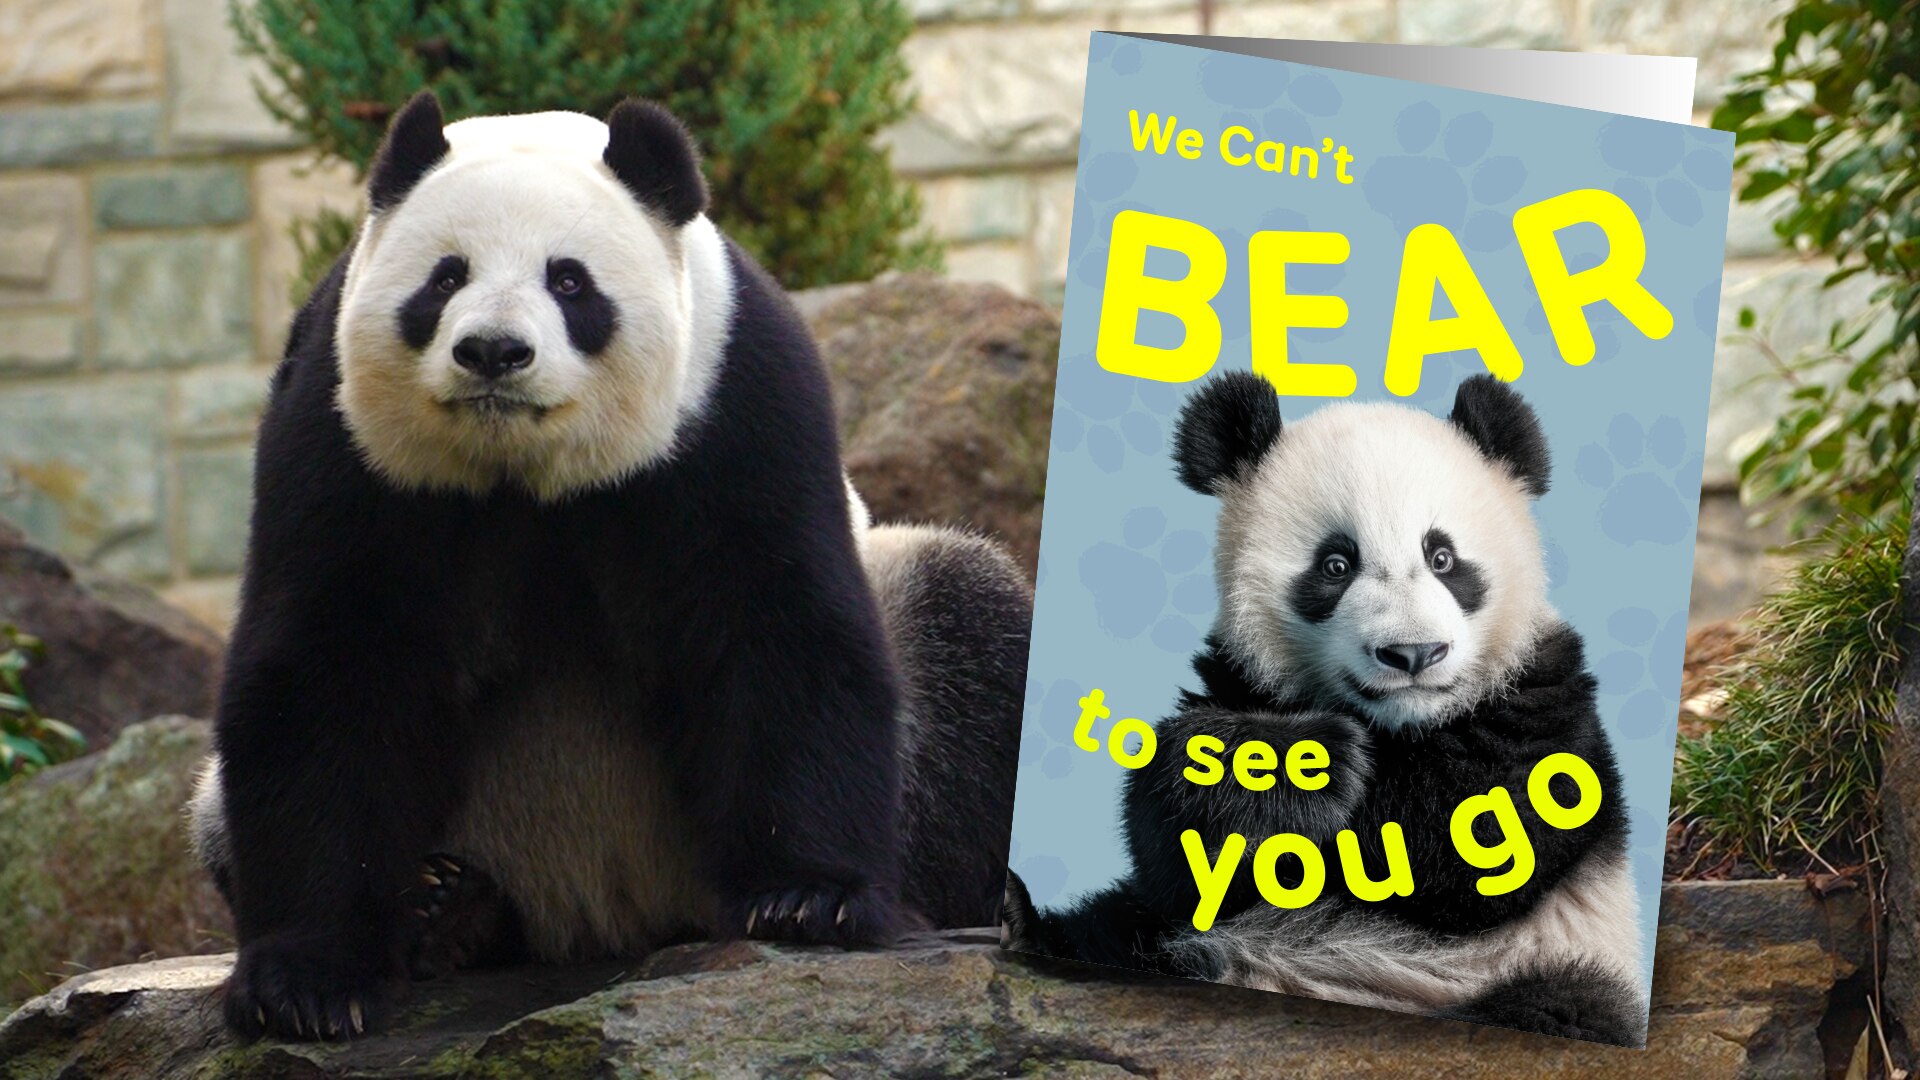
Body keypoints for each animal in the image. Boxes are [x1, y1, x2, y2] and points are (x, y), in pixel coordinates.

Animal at [186, 92, 1031, 1041]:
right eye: (445, 279)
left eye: (569, 281)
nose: (492, 352)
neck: (525, 473)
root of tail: (607, 912)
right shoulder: (337, 425)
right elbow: (330, 663)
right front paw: (307, 983)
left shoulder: (733, 396)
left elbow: (776, 623)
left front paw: (809, 900)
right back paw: (452, 913)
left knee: (965, 624)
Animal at [1001, 371, 1644, 1046]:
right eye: (1336, 565)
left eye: (1442, 558)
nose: (1412, 653)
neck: (1401, 728)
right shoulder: (1243, 680)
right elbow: (1179, 858)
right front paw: (1289, 763)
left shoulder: (1540, 699)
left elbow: (1475, 843)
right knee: (1116, 930)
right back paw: (1025, 923)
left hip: (1529, 967)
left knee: (1555, 1006)